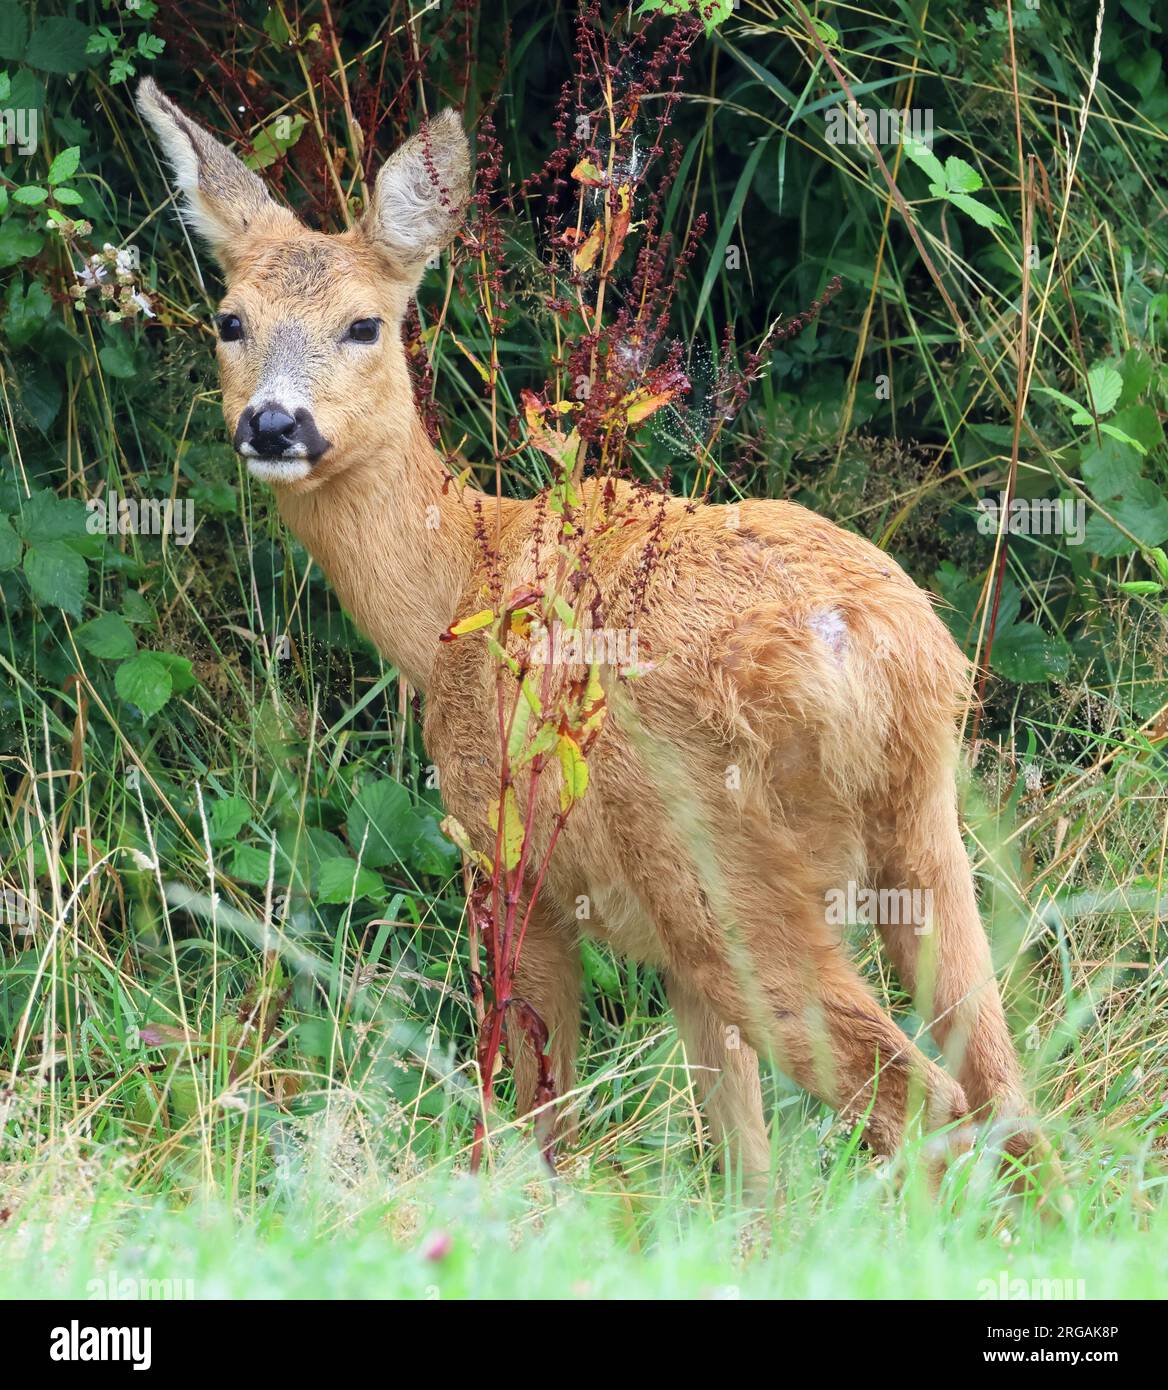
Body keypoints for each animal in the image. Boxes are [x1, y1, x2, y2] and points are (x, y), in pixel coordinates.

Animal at [138, 79, 1034, 1188]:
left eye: (363, 324)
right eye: (231, 318)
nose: (272, 424)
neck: (449, 588)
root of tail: (877, 655)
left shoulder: (510, 860)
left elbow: (541, 1112)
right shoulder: (668, 953)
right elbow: (748, 1165)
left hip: (722, 871)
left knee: (925, 1096)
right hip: (924, 837)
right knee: (1008, 1090)